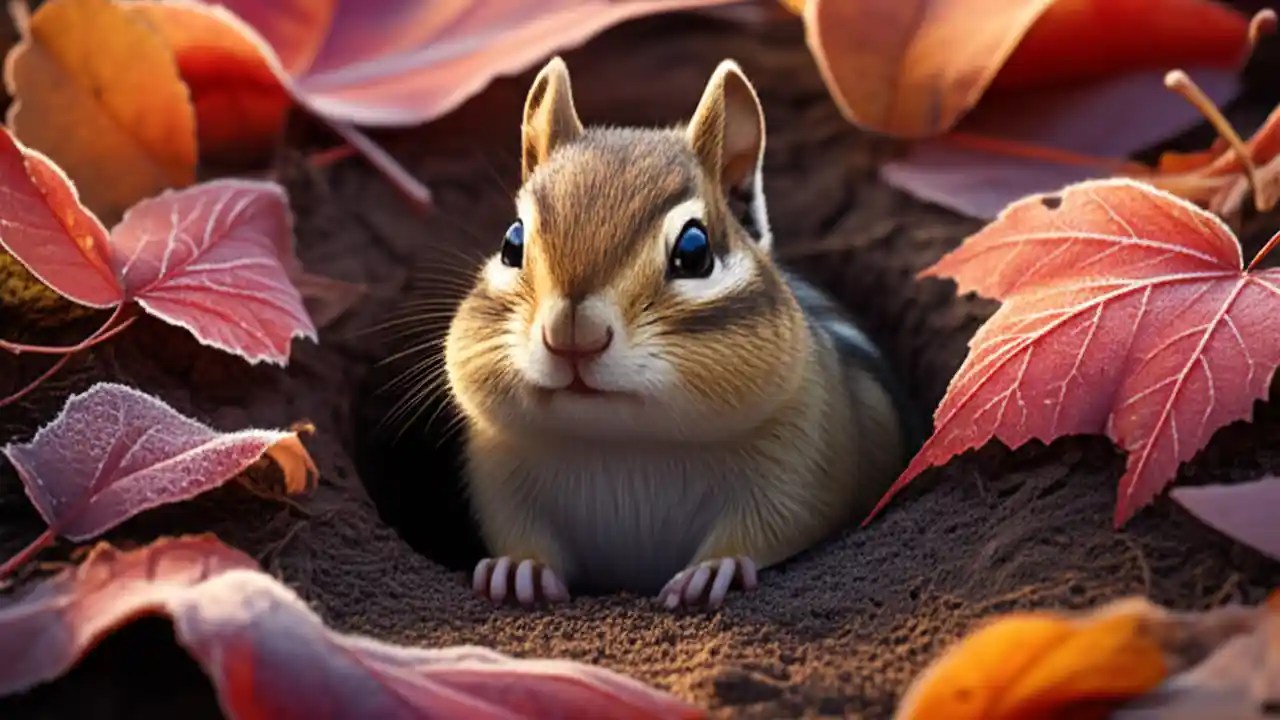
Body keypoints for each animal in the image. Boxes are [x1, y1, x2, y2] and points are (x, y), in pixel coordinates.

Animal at [443, 56, 921, 610]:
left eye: (694, 251)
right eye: (512, 242)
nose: (572, 335)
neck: (623, 446)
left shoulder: (806, 457)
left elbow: (775, 526)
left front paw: (717, 570)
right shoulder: (498, 474)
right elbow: (517, 530)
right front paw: (522, 568)